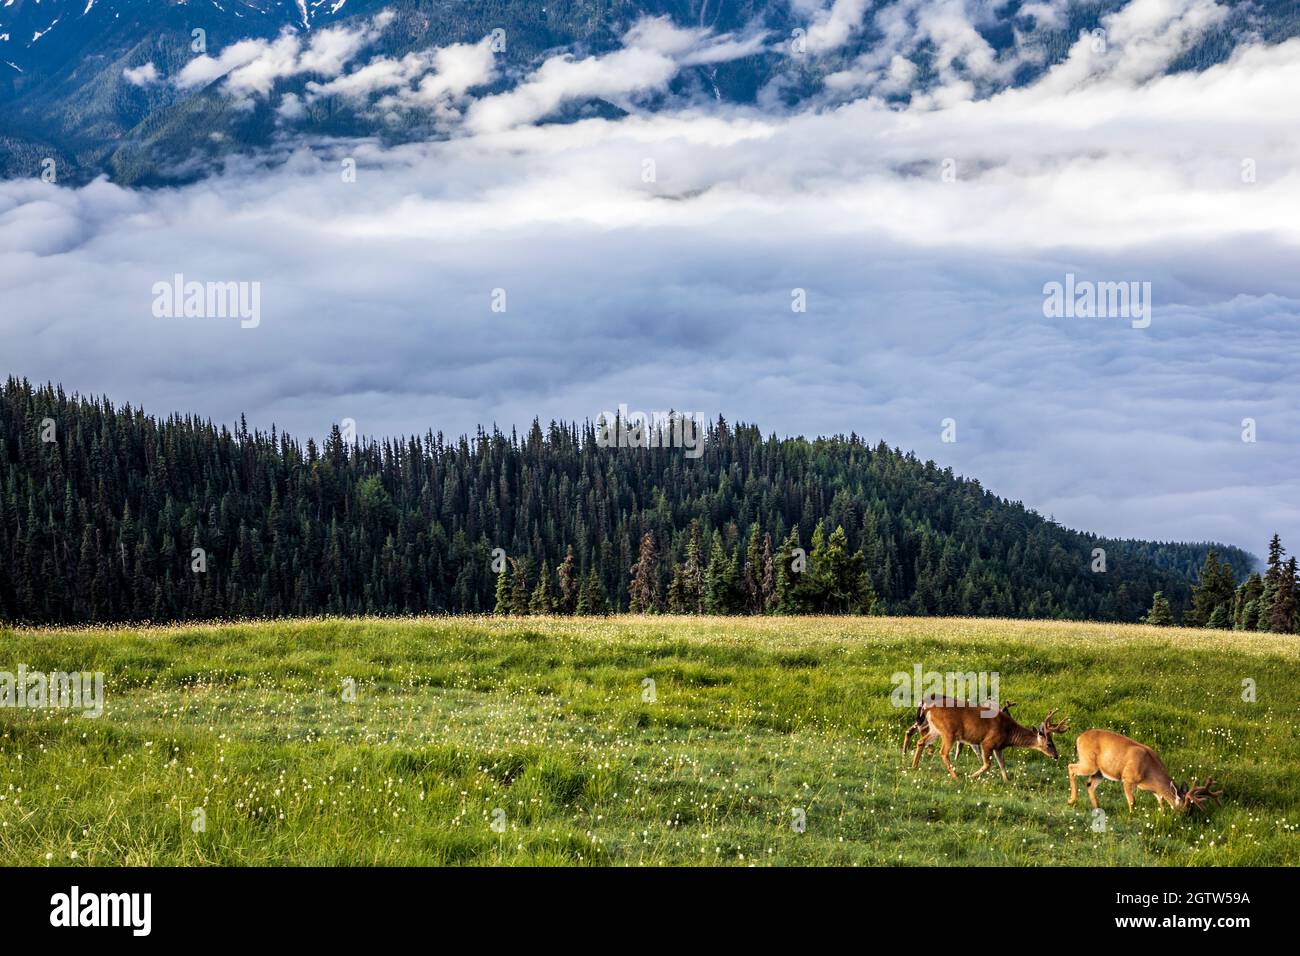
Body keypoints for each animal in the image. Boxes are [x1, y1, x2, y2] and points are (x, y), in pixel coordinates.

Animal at [905, 699, 1068, 782]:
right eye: (1049, 744)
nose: (1056, 756)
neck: (1009, 732)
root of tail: (928, 708)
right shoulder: (987, 742)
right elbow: (988, 764)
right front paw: (972, 776)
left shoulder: (998, 747)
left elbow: (1002, 764)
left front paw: (1007, 781)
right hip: (948, 732)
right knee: (943, 752)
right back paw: (956, 776)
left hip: (935, 729)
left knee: (921, 741)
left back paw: (914, 766)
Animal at [1068, 729, 1223, 813]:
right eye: (1186, 808)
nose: (1187, 817)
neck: (1149, 769)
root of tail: (1079, 738)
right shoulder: (1127, 778)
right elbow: (1132, 801)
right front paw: (1131, 817)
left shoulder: (1156, 789)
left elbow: (1161, 802)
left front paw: (1162, 814)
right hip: (1089, 763)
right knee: (1071, 767)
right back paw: (1071, 800)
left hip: (1100, 772)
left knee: (1089, 785)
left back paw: (1096, 808)